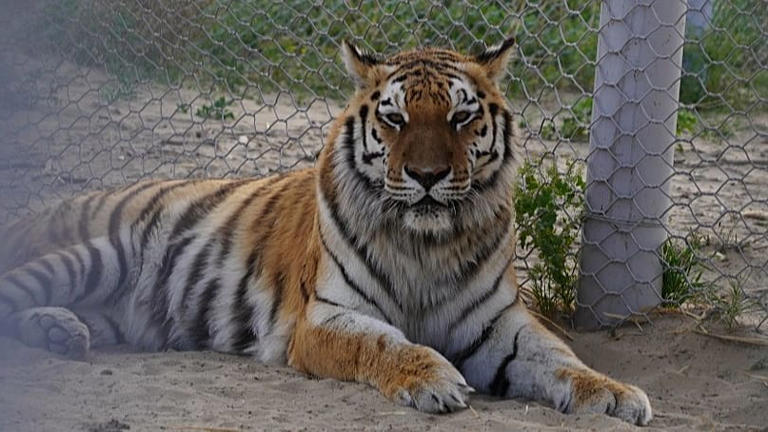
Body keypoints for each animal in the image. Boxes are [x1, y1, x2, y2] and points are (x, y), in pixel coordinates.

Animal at [0, 38, 652, 425]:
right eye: (395, 118)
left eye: (461, 116)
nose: (428, 175)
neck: (426, 244)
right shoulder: (326, 316)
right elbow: (385, 343)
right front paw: (436, 378)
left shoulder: (498, 325)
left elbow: (559, 357)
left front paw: (616, 394)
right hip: (94, 256)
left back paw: (61, 333)